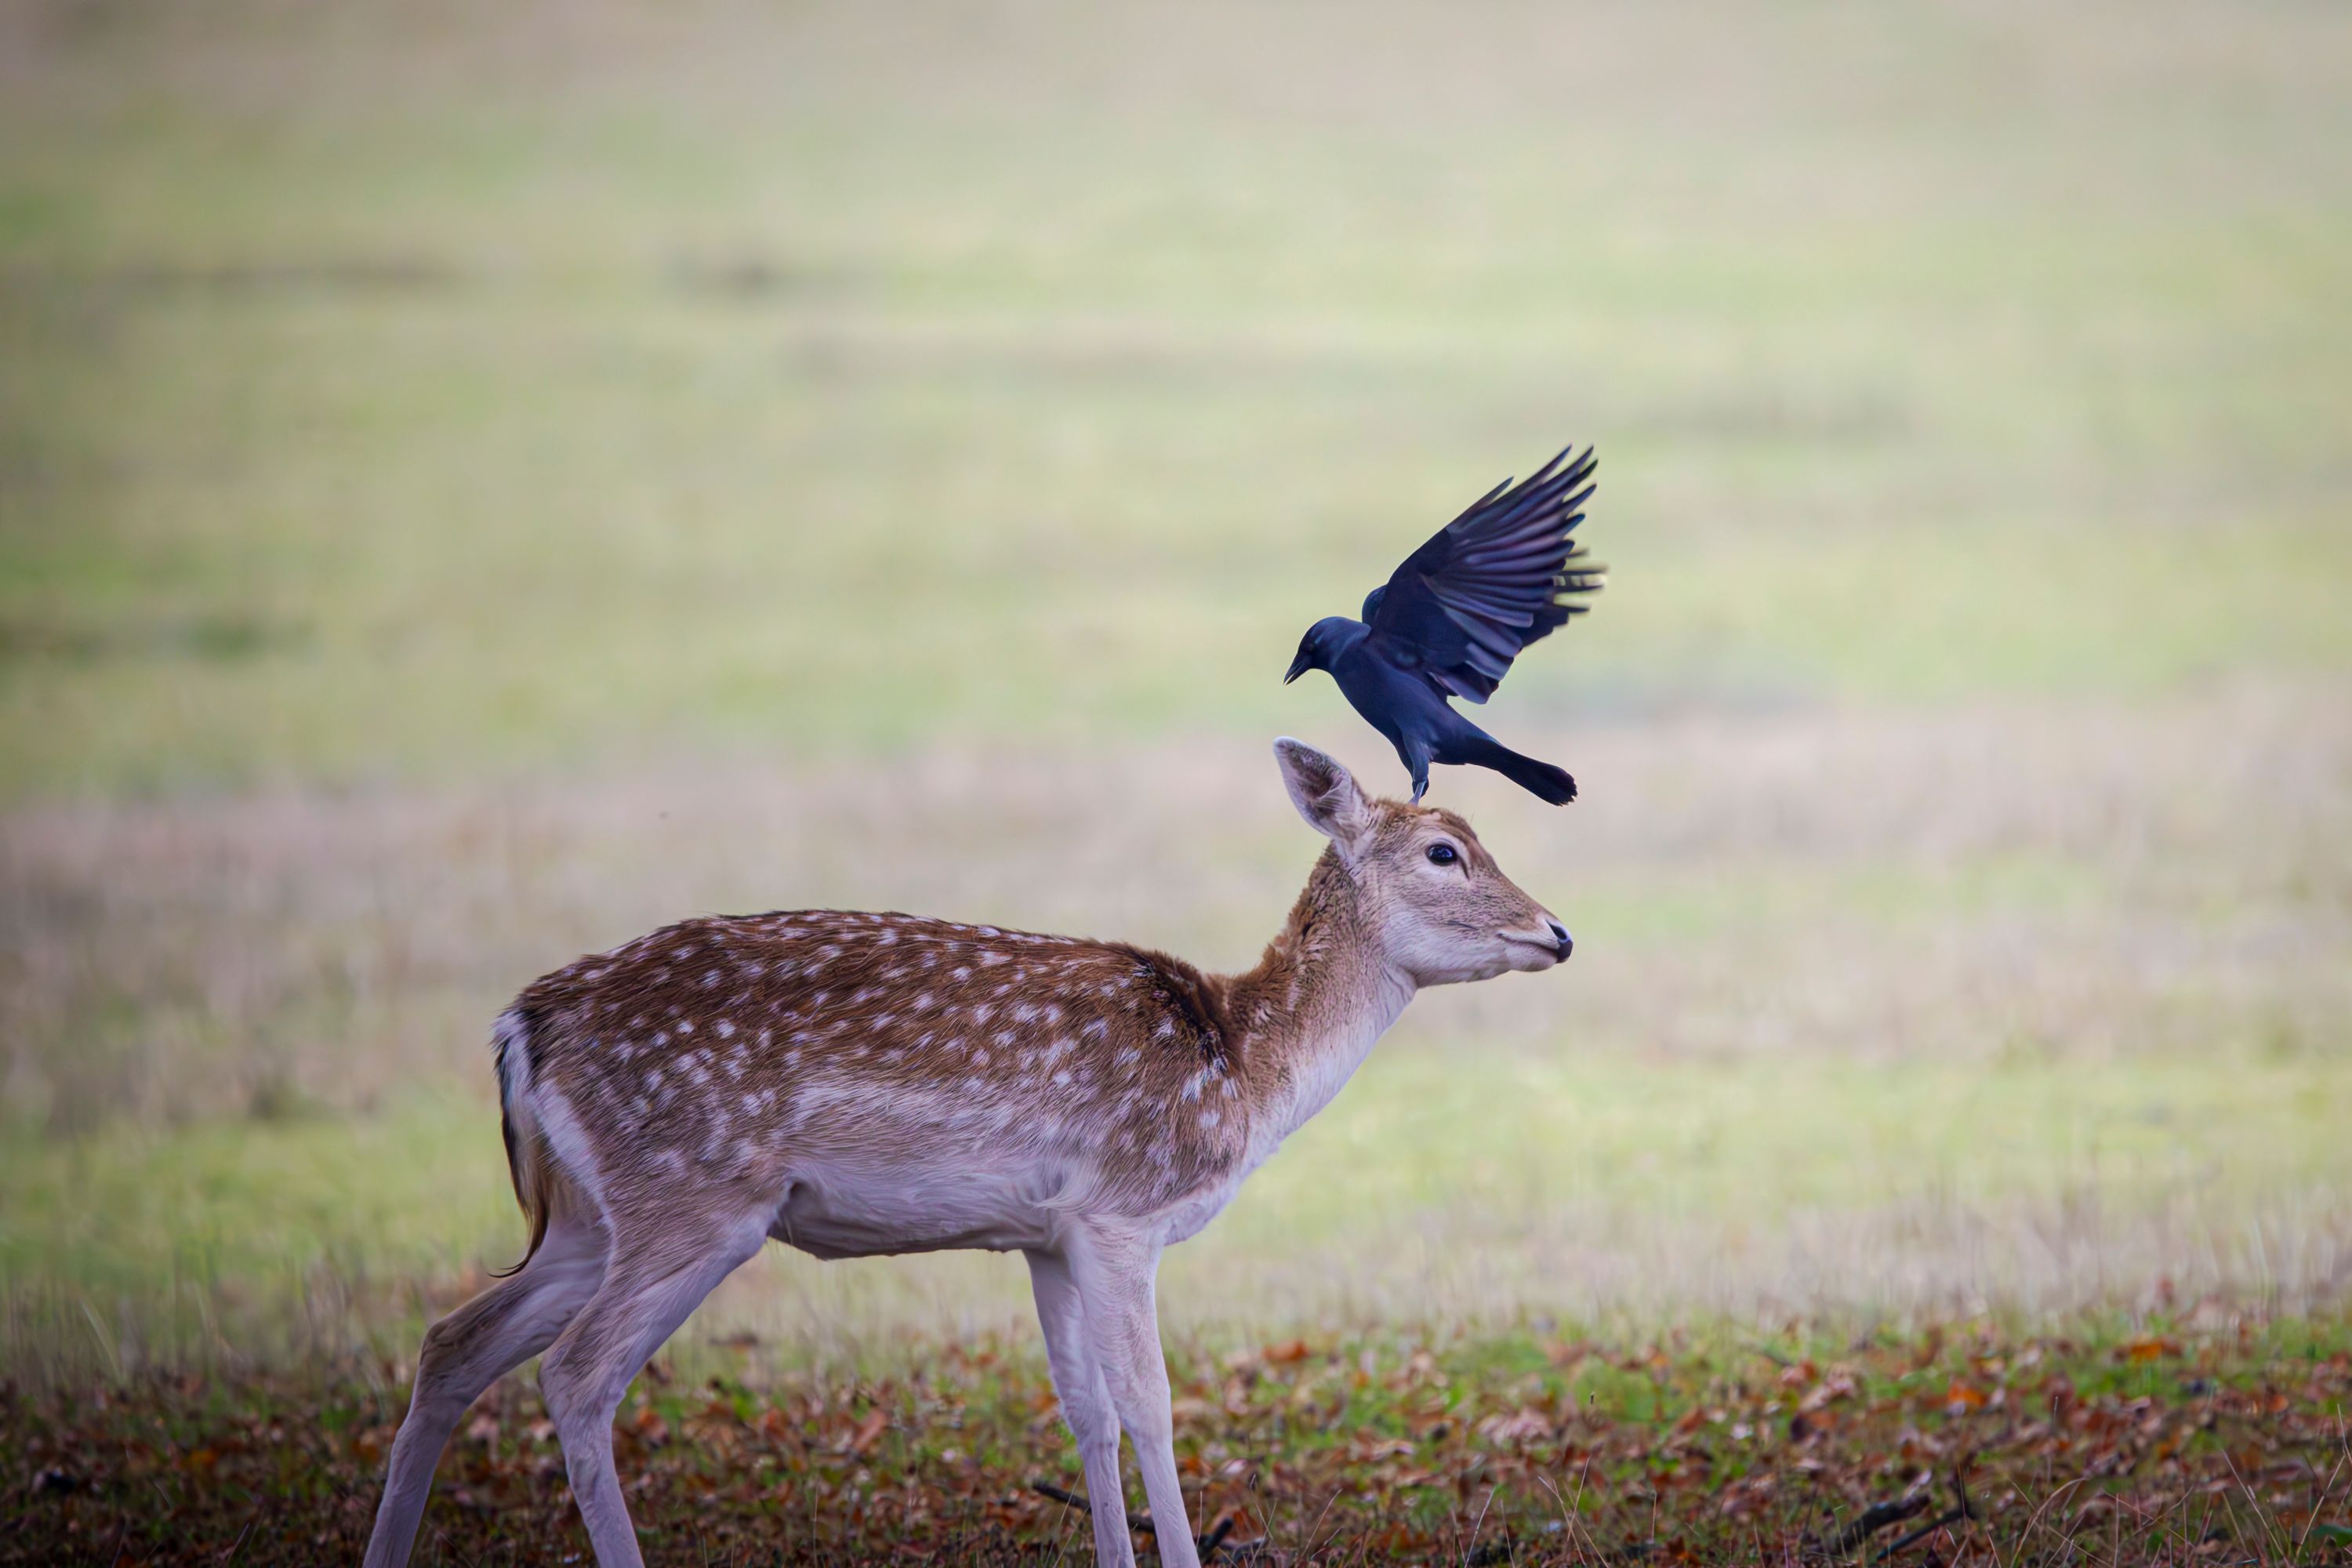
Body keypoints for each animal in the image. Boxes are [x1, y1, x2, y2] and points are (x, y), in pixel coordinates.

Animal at [362, 739, 1574, 1568]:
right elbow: (1151, 1402)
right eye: (1445, 850)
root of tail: (523, 1026)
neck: (1238, 1070)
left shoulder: (1043, 1235)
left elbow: (1086, 1409)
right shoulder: (1123, 1211)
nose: (1557, 930)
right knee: (576, 1373)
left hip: (586, 1214)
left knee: (452, 1340)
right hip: (692, 1196)